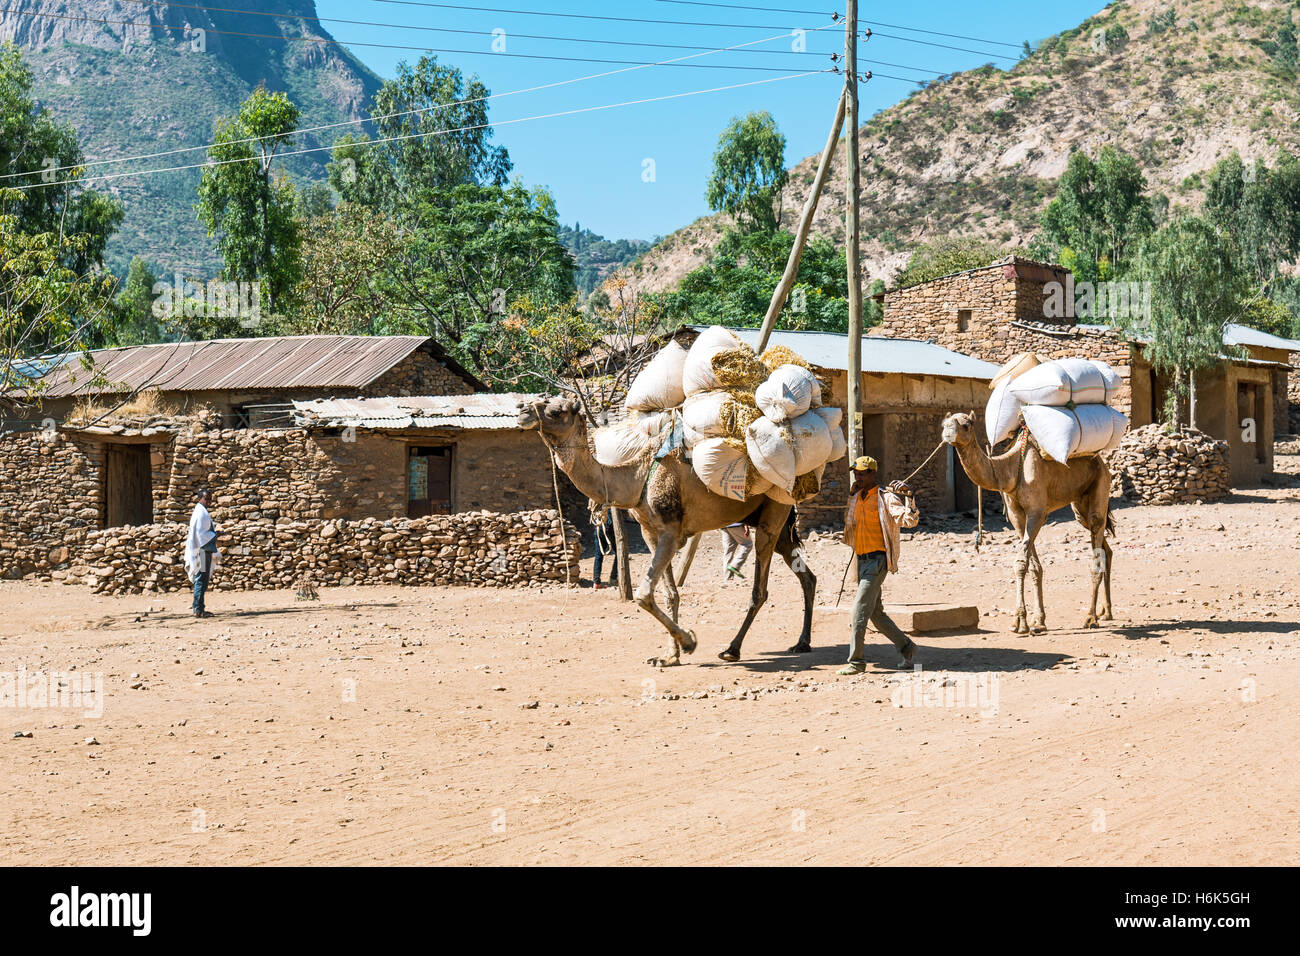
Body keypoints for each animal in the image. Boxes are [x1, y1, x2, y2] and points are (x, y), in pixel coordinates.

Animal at [517, 396, 816, 666]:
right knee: (807, 576)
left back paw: (732, 649)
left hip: (776, 506)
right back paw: (802, 642)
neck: (637, 479)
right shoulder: (651, 533)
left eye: (556, 410)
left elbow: (643, 595)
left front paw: (689, 642)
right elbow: (669, 593)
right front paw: (669, 656)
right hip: (773, 520)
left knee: (760, 588)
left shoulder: (672, 533)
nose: (522, 411)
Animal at [941, 411, 1114, 633]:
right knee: (1106, 549)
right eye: (946, 422)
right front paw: (1038, 620)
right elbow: (1034, 567)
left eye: (967, 424)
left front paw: (1020, 622)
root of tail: (1102, 462)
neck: (1011, 468)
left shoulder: (1037, 513)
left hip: (1100, 486)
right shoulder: (1017, 516)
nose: (948, 431)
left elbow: (1021, 563)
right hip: (1079, 507)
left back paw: (1090, 618)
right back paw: (1106, 612)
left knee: (1097, 545)